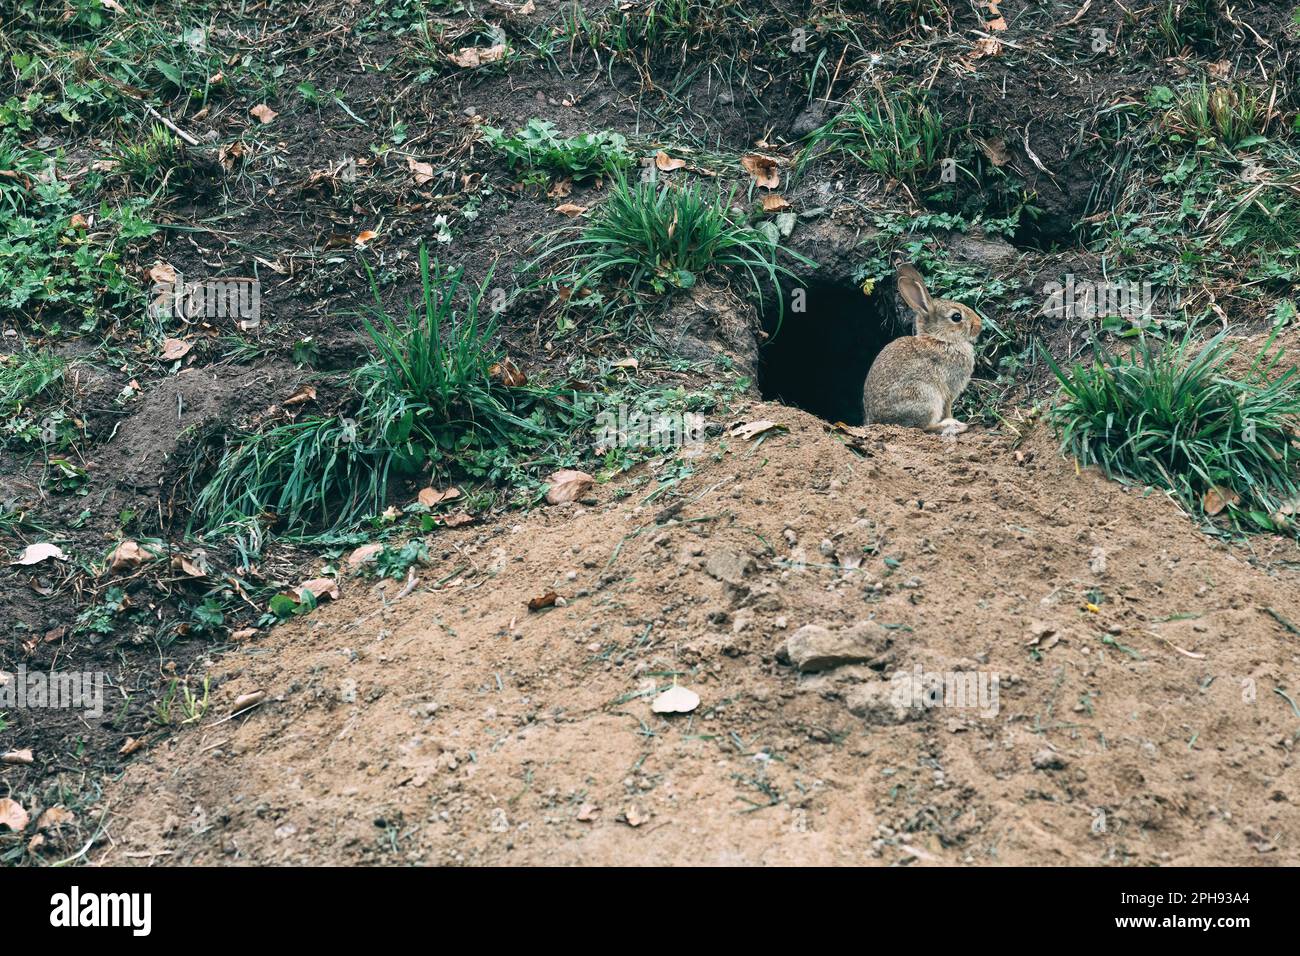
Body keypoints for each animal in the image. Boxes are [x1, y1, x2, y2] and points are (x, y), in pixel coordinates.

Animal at [862, 264, 982, 436]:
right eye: (956, 317)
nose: (980, 324)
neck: (941, 339)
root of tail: (881, 421)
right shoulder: (949, 390)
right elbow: (948, 409)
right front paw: (952, 419)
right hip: (925, 396)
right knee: (923, 427)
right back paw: (953, 426)